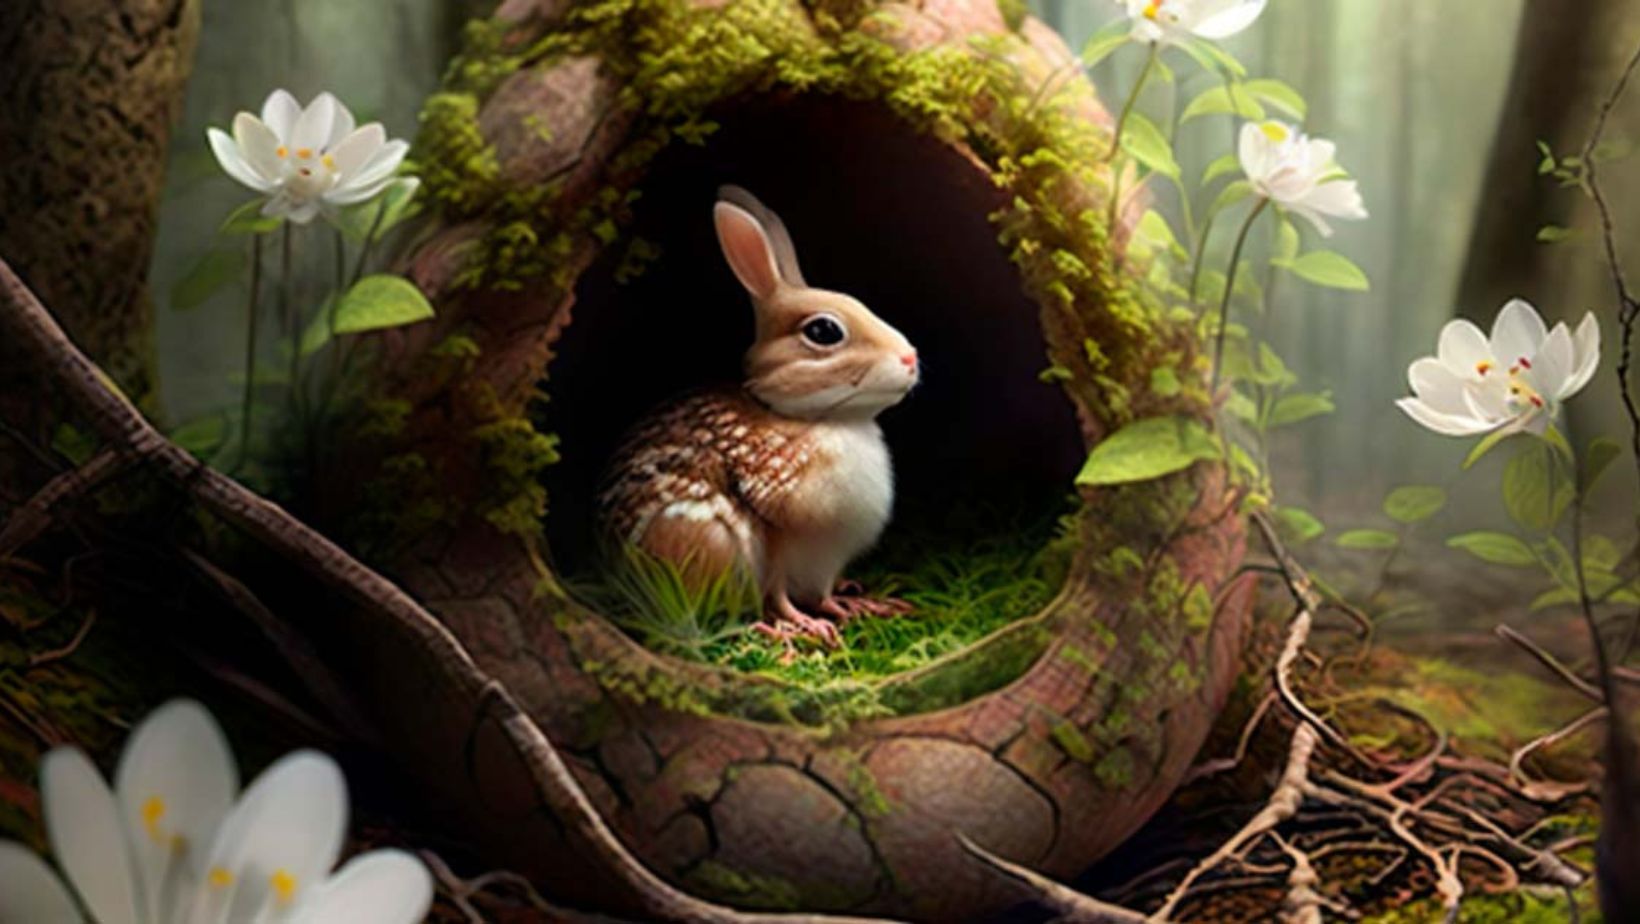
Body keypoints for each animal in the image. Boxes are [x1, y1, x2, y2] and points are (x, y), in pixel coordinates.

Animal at [598, 185, 920, 649]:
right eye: (824, 331)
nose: (910, 357)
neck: (822, 420)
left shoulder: (829, 557)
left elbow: (824, 591)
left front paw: (858, 605)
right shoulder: (780, 542)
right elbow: (779, 591)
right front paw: (807, 626)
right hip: (711, 542)